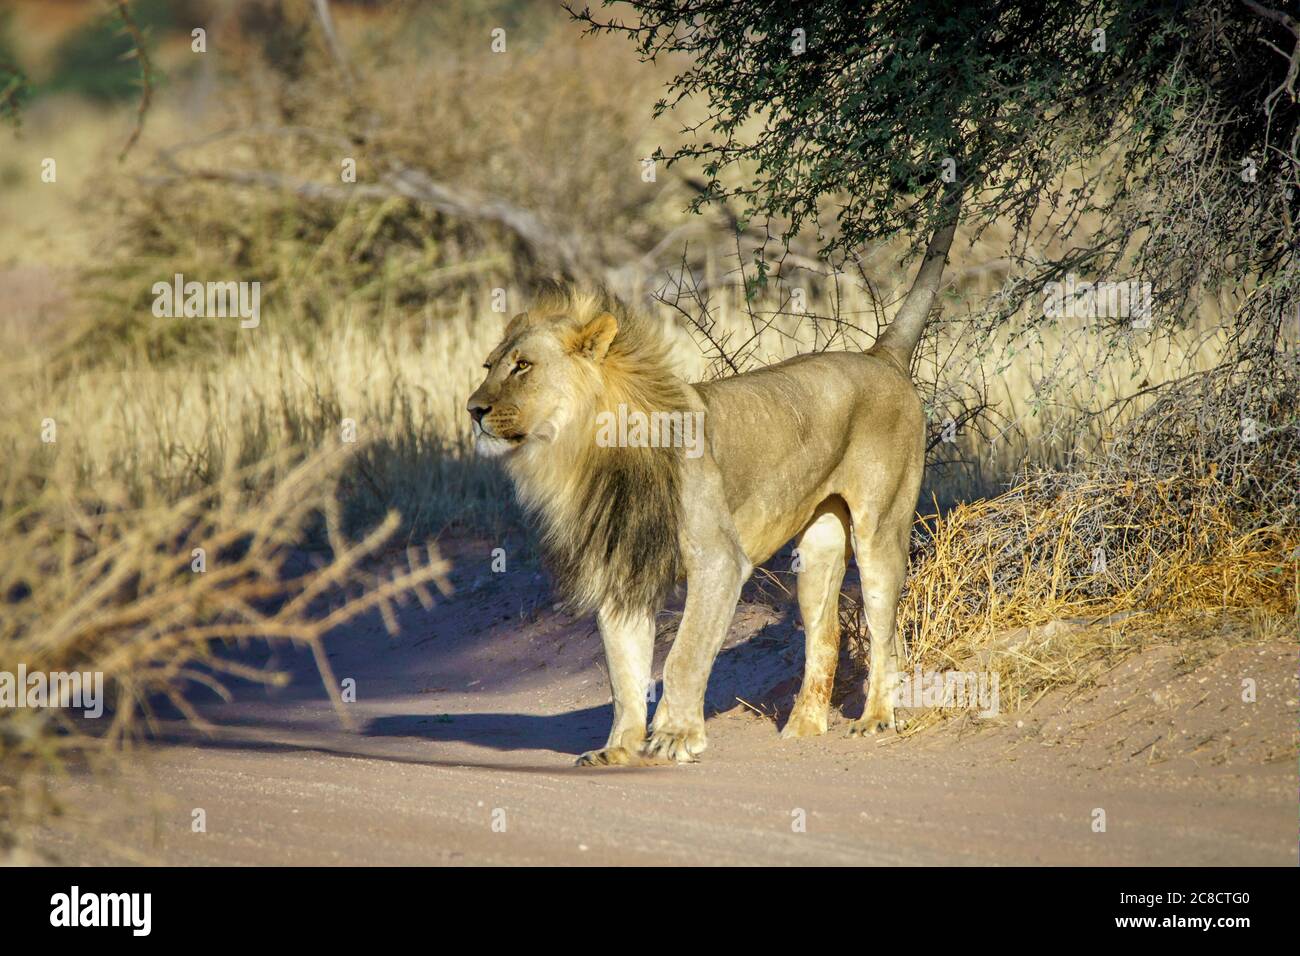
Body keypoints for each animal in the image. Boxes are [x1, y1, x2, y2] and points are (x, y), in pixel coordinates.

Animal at [467, 274, 937, 765]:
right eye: (488, 365)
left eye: (522, 366)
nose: (472, 410)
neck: (583, 456)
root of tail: (879, 355)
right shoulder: (622, 572)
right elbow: (623, 674)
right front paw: (618, 749)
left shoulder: (719, 561)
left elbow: (684, 654)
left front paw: (675, 736)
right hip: (818, 551)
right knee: (825, 636)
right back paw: (802, 728)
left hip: (880, 532)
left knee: (886, 633)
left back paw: (875, 718)